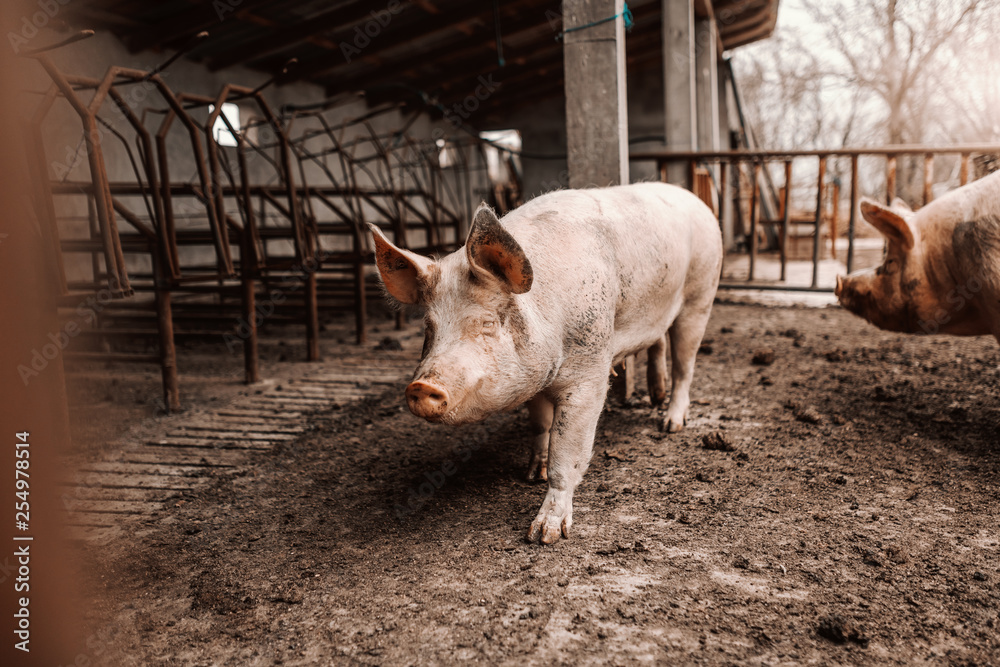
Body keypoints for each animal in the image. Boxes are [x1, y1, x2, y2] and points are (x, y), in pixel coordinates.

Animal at [368, 182, 723, 543]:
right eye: (429, 327)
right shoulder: (535, 377)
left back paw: (670, 424)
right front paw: (531, 474)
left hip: (701, 295)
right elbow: (540, 424)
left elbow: (565, 451)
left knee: (685, 364)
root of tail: (693, 199)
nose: (421, 386)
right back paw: (656, 396)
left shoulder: (590, 373)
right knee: (659, 341)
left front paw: (544, 534)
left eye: (487, 323)